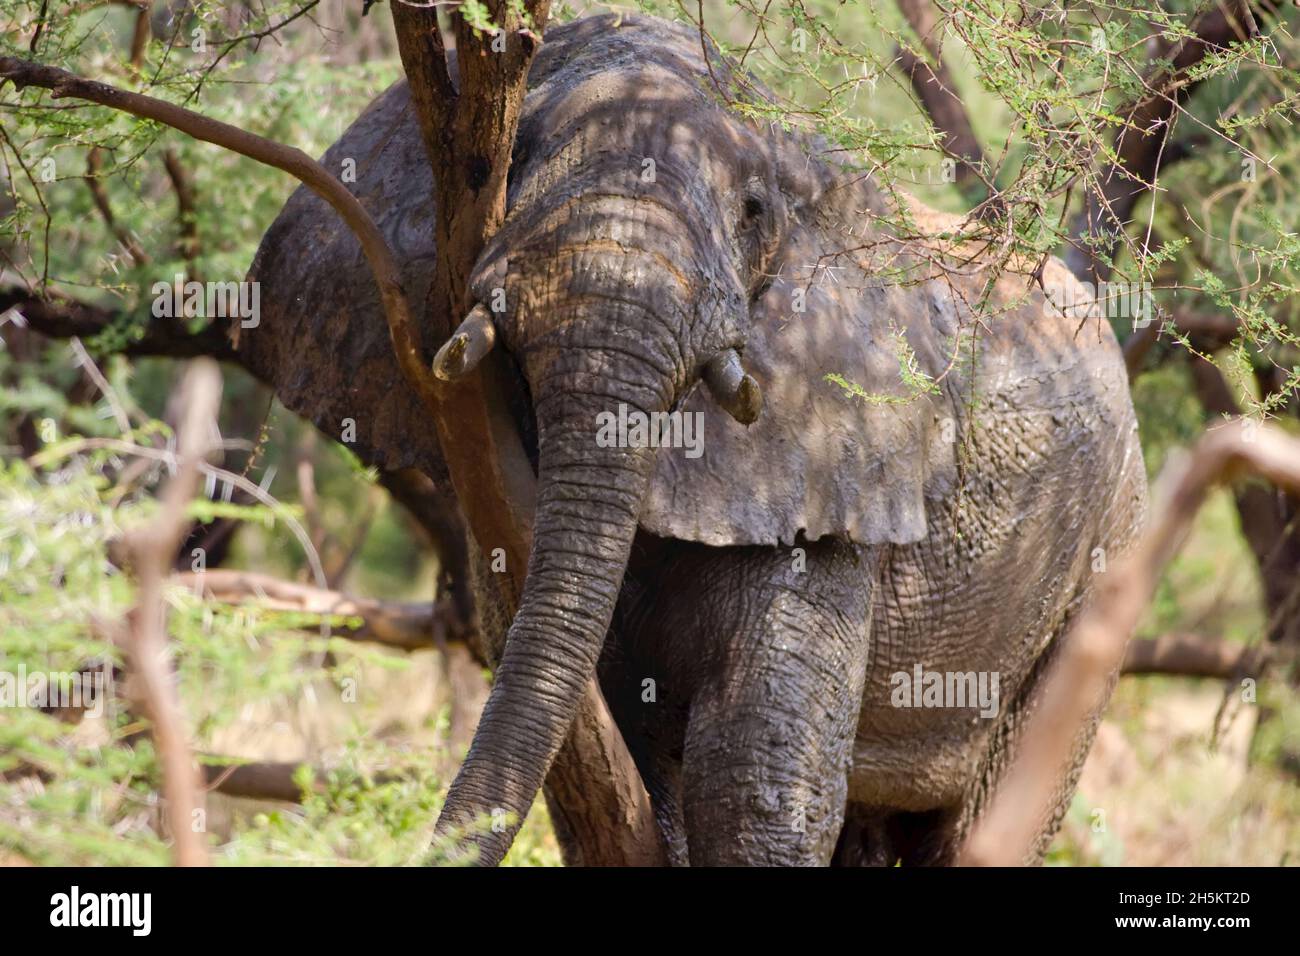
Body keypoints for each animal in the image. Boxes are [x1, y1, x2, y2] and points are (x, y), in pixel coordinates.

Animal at [247, 12, 1147, 866]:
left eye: (753, 213)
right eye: (519, 155)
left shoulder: (835, 468)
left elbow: (752, 782)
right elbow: (604, 749)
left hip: (1099, 555)